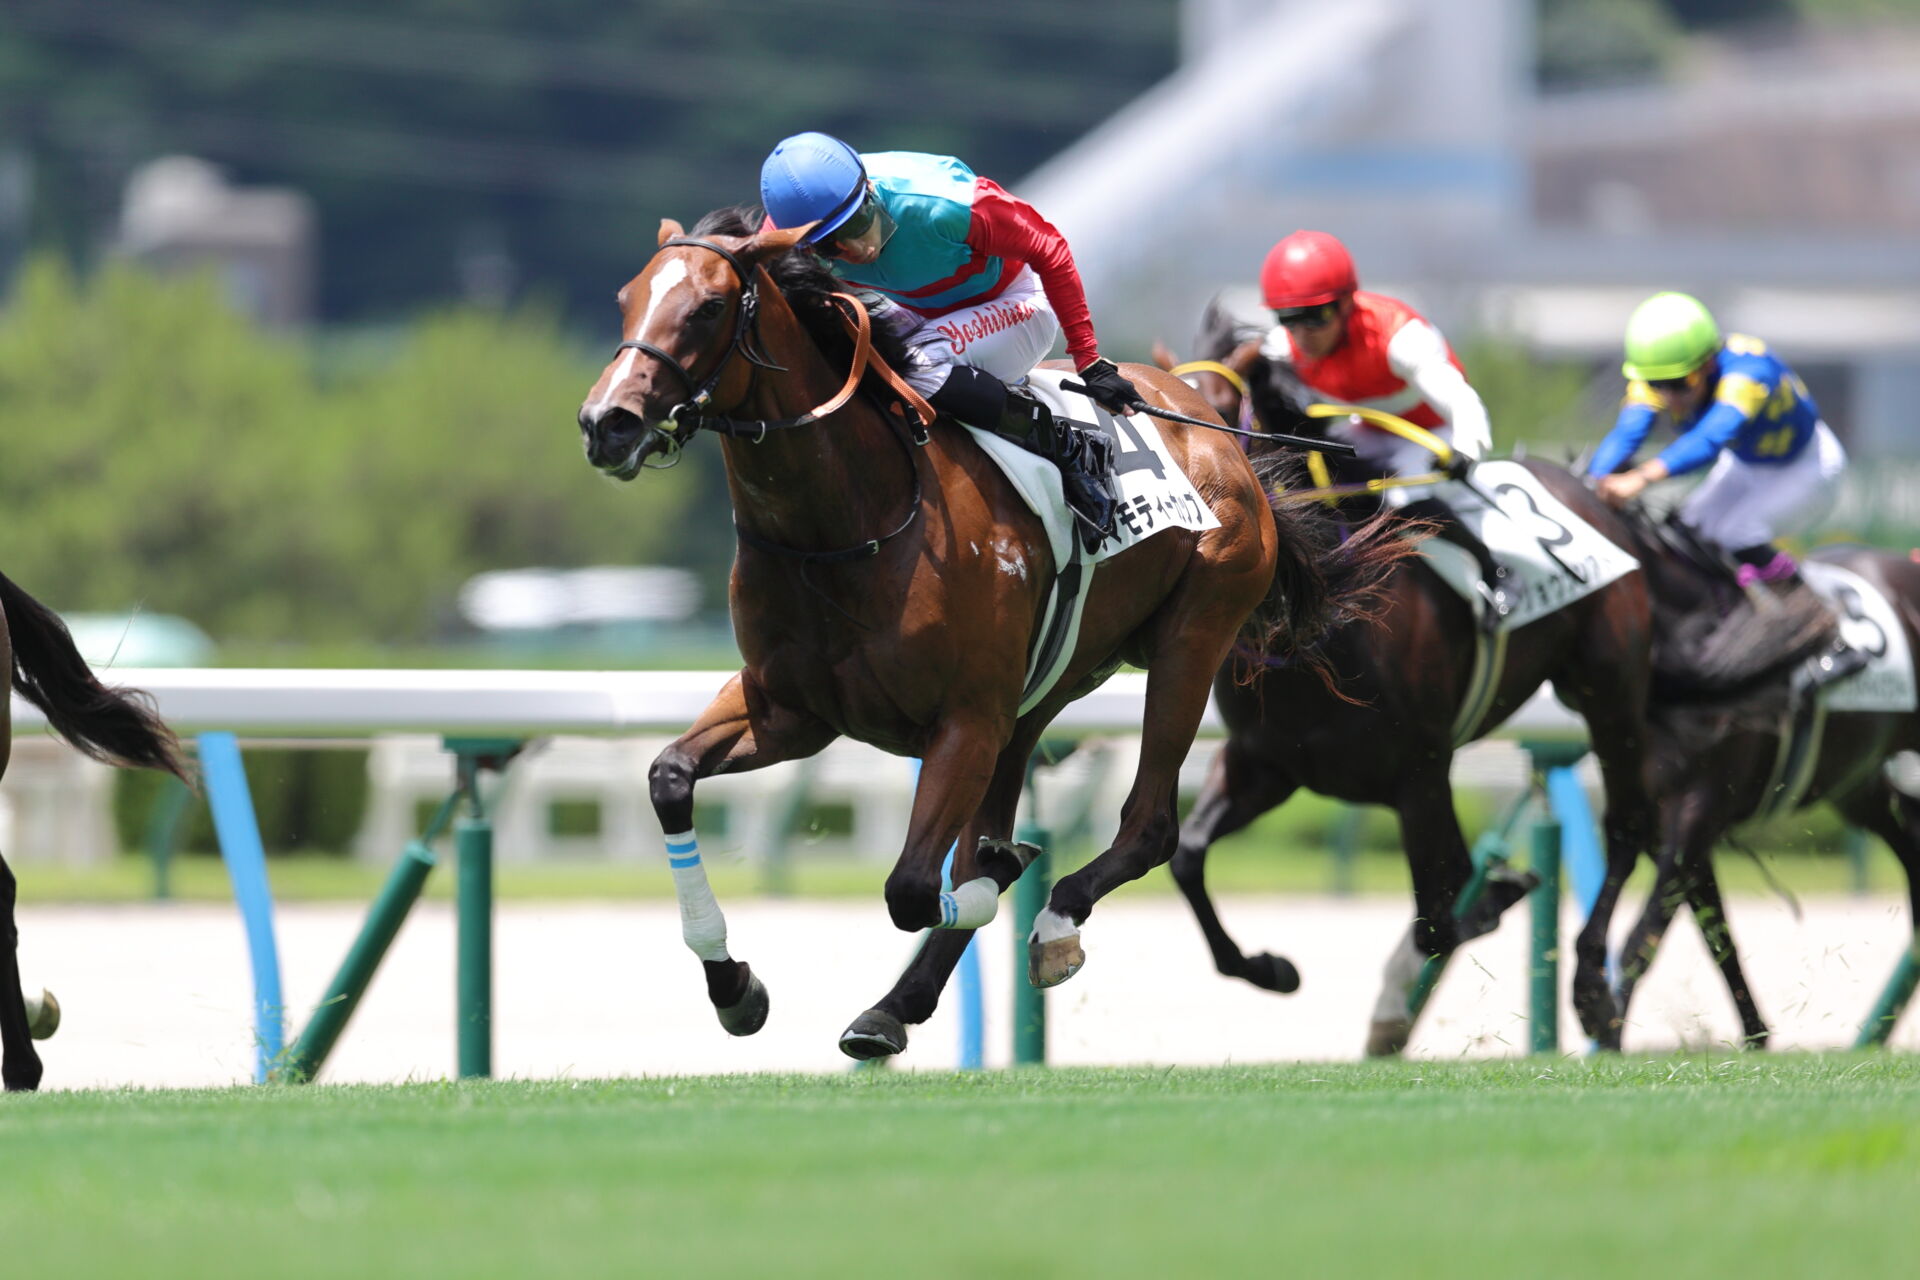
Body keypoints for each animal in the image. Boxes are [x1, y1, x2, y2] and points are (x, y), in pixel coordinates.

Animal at [576, 207, 1407, 1058]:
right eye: (626, 299)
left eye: (708, 308)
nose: (608, 422)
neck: (846, 524)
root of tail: (1216, 433)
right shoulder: (790, 713)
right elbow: (669, 778)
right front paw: (735, 987)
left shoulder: (964, 721)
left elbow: (915, 888)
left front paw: (1011, 882)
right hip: (1047, 686)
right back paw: (894, 1004)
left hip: (1193, 638)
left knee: (1149, 826)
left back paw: (1056, 923)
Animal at [1158, 309, 1817, 1053]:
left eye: (1212, 416)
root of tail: (1601, 494)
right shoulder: (1265, 764)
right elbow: (1186, 856)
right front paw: (1272, 968)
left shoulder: (1420, 771)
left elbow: (1441, 909)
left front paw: (1500, 893)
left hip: (1609, 694)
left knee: (1628, 825)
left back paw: (1594, 990)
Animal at [1609, 539, 1920, 1050]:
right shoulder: (1667, 829)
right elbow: (1716, 935)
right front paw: (1756, 1035)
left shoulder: (1697, 810)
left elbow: (1645, 936)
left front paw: (1605, 1032)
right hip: (1859, 784)